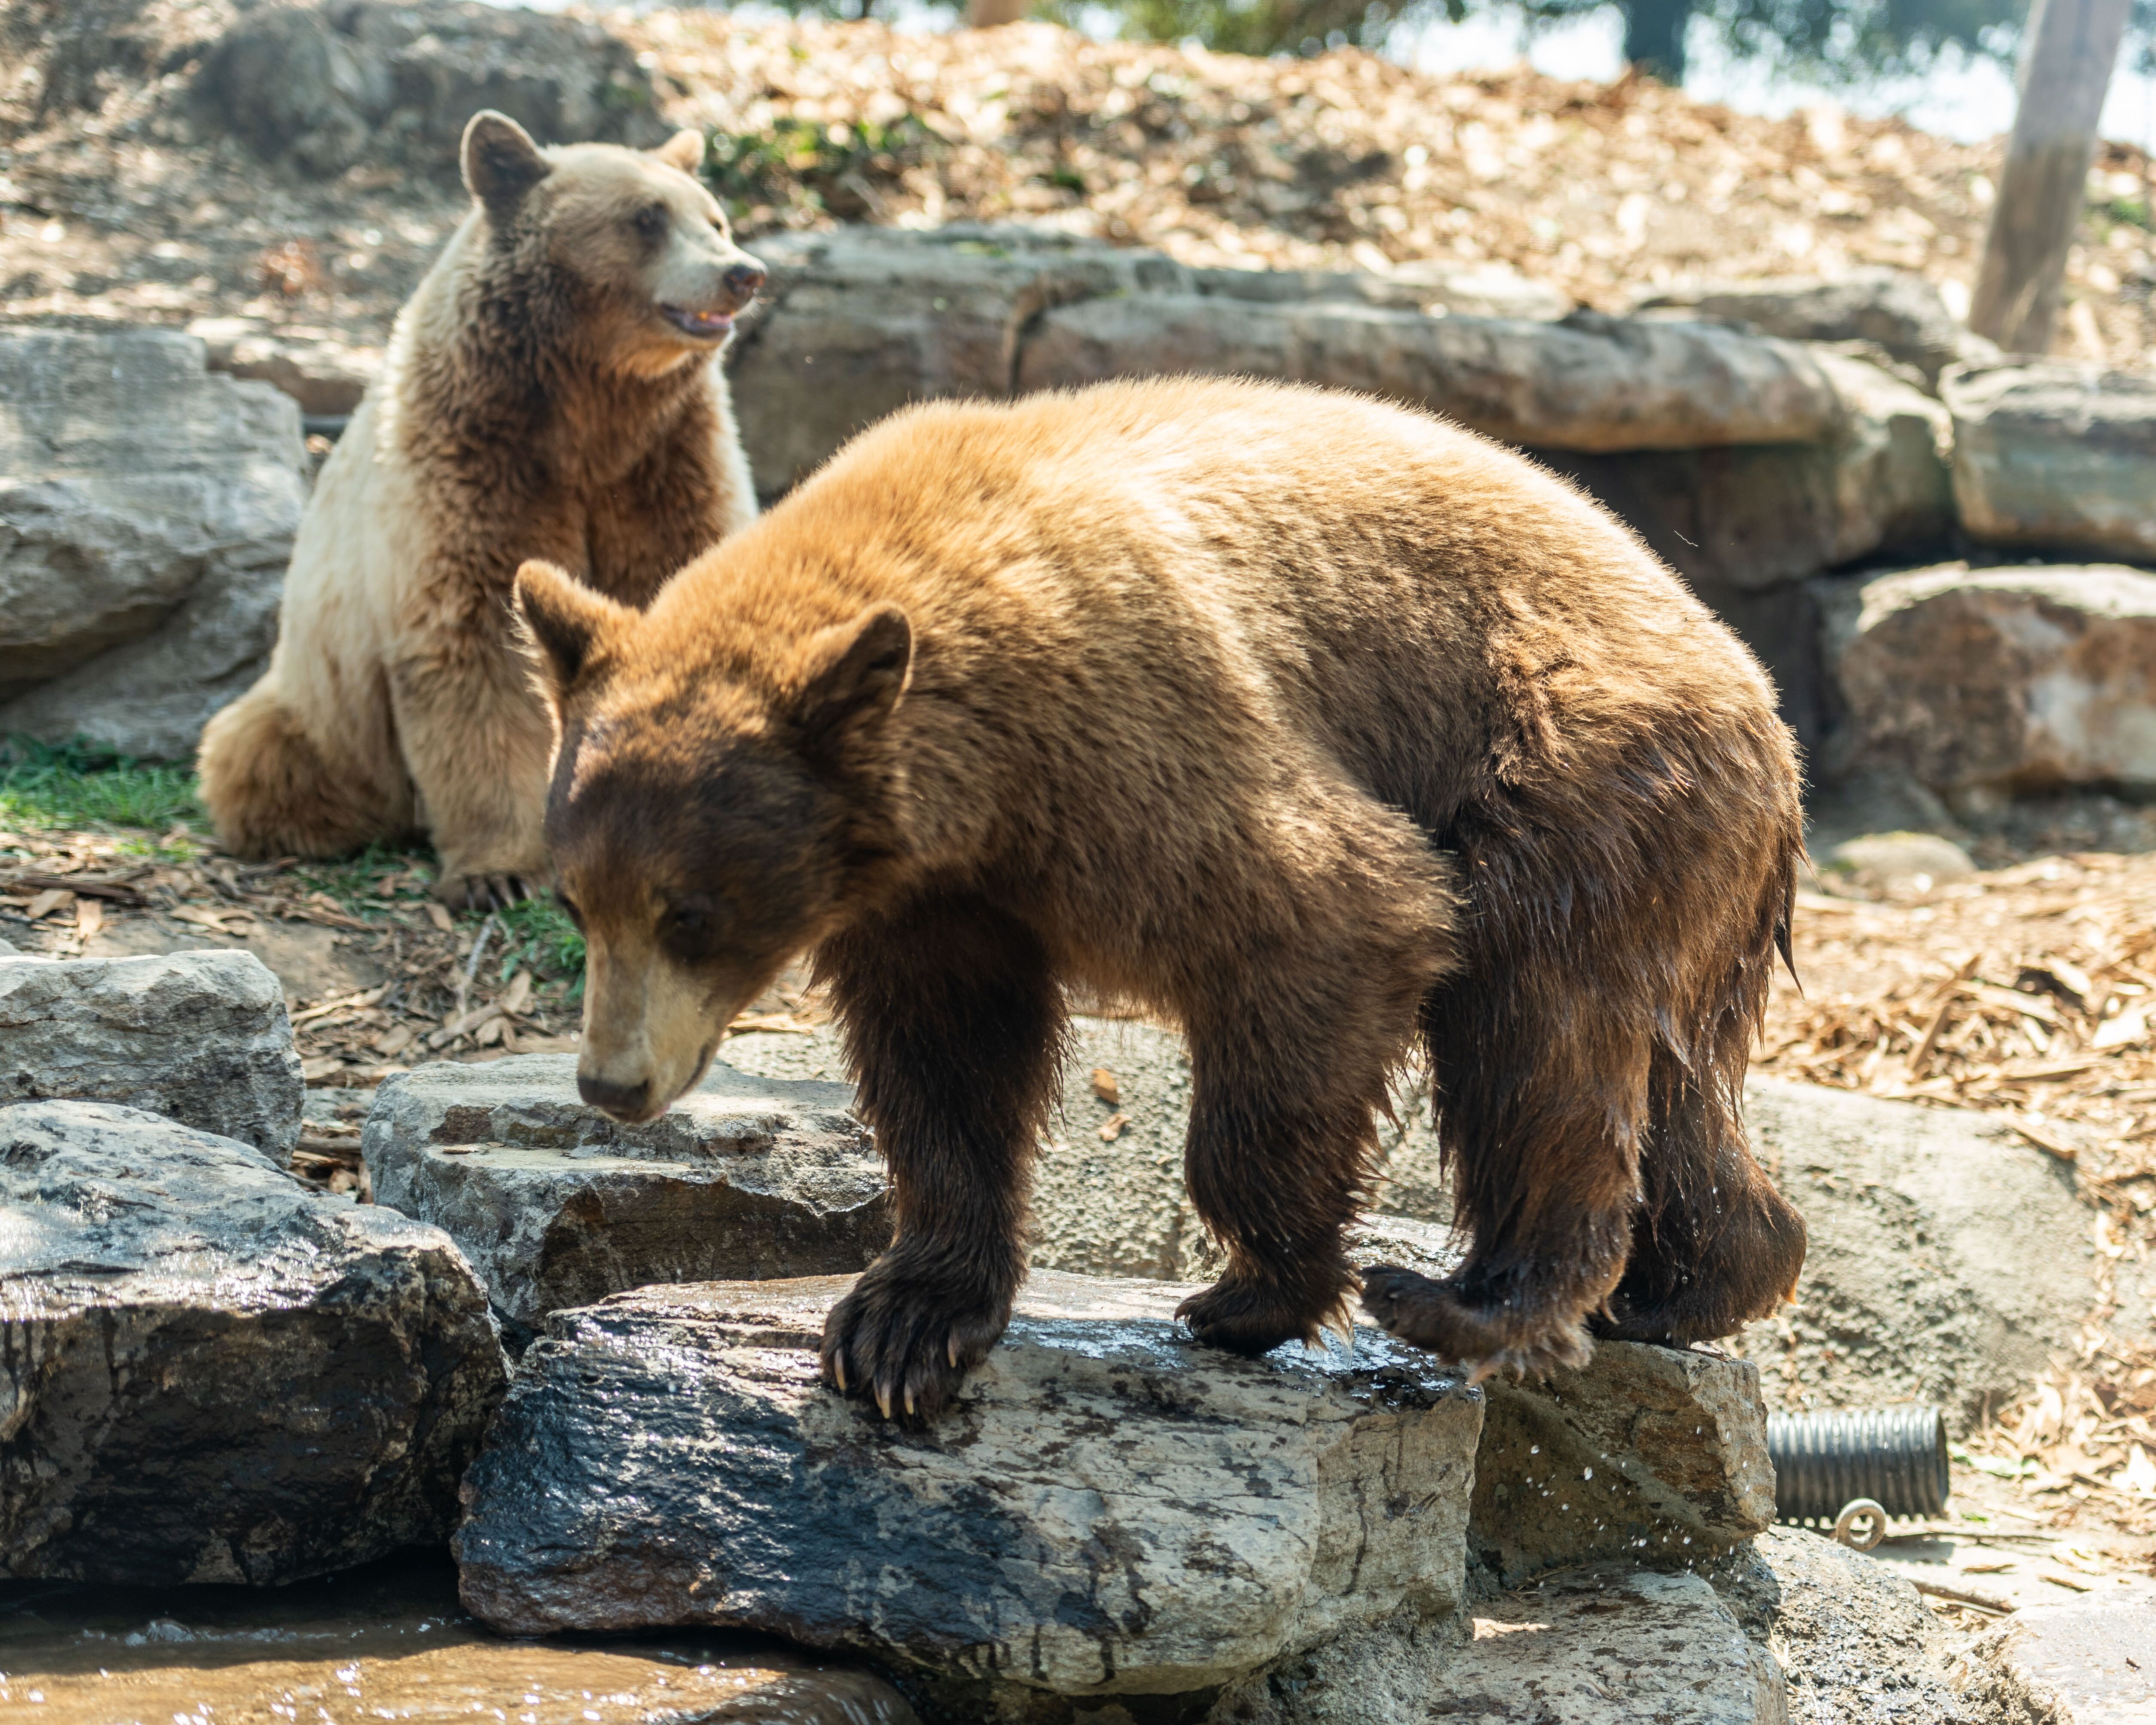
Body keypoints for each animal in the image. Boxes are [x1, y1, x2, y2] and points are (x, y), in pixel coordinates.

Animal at [198, 110, 764, 908]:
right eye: (647, 218)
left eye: (714, 217)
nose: (743, 271)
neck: (590, 406)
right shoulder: (476, 463)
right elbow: (479, 651)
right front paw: (500, 872)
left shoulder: (669, 462)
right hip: (320, 706)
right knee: (256, 754)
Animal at [512, 375, 1809, 1421]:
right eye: (576, 901)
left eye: (691, 911)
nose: (611, 1084)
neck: (981, 776)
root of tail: (1756, 690)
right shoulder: (938, 896)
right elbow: (944, 1061)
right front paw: (901, 1322)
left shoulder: (1135, 738)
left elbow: (1324, 921)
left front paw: (1253, 1290)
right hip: (1687, 873)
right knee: (1672, 1081)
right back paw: (1697, 1279)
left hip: (1567, 773)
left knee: (1537, 1025)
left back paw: (1476, 1297)